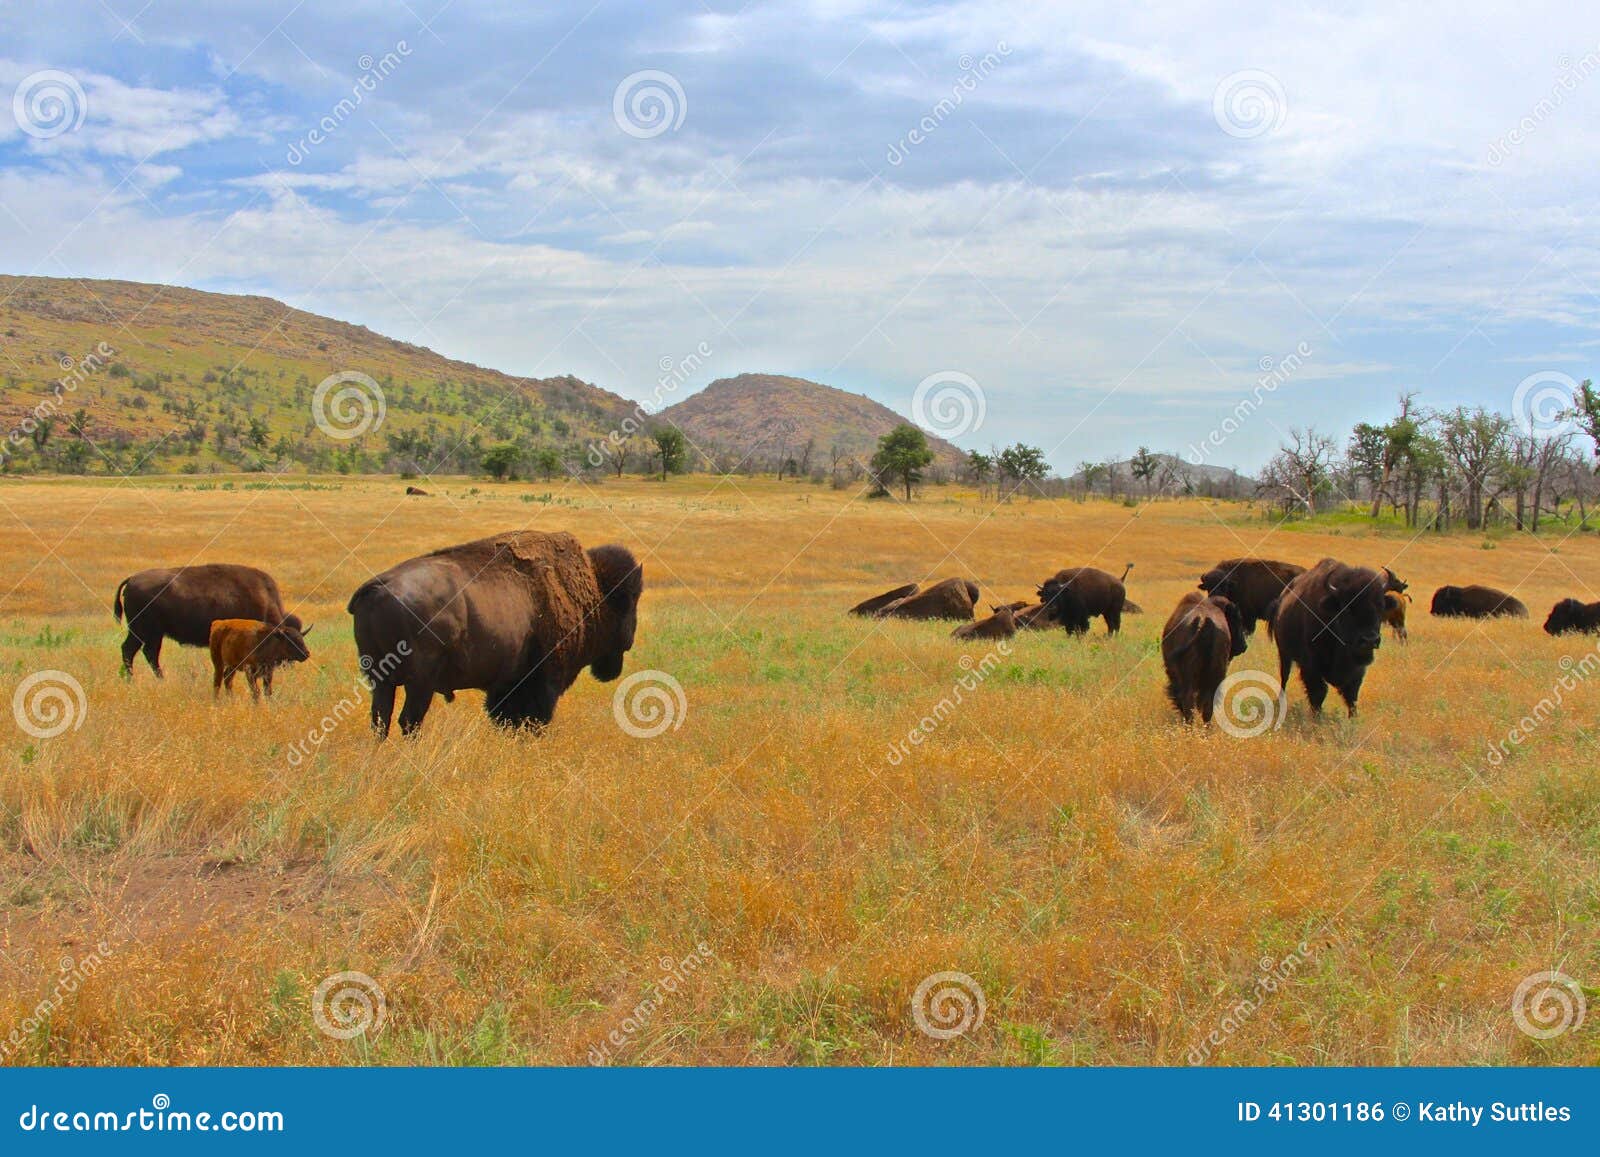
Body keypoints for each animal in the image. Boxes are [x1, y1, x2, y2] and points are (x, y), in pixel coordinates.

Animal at [114, 564, 301, 678]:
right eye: (288, 643)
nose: (289, 666)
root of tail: (132, 579)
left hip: (147, 633)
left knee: (138, 651)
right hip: (146, 631)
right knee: (137, 651)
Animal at [348, 530, 643, 737]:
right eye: (630, 600)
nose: (630, 639)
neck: (593, 590)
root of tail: (379, 586)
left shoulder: (505, 685)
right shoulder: (540, 682)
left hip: (381, 680)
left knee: (381, 719)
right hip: (419, 683)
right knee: (408, 720)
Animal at [1273, 558, 1388, 717]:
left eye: (1380, 606)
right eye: (1347, 608)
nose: (1370, 640)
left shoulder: (1357, 671)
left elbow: (1352, 695)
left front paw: (1353, 718)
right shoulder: (1311, 666)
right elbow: (1319, 692)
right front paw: (1317, 717)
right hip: (1284, 653)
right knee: (1284, 677)